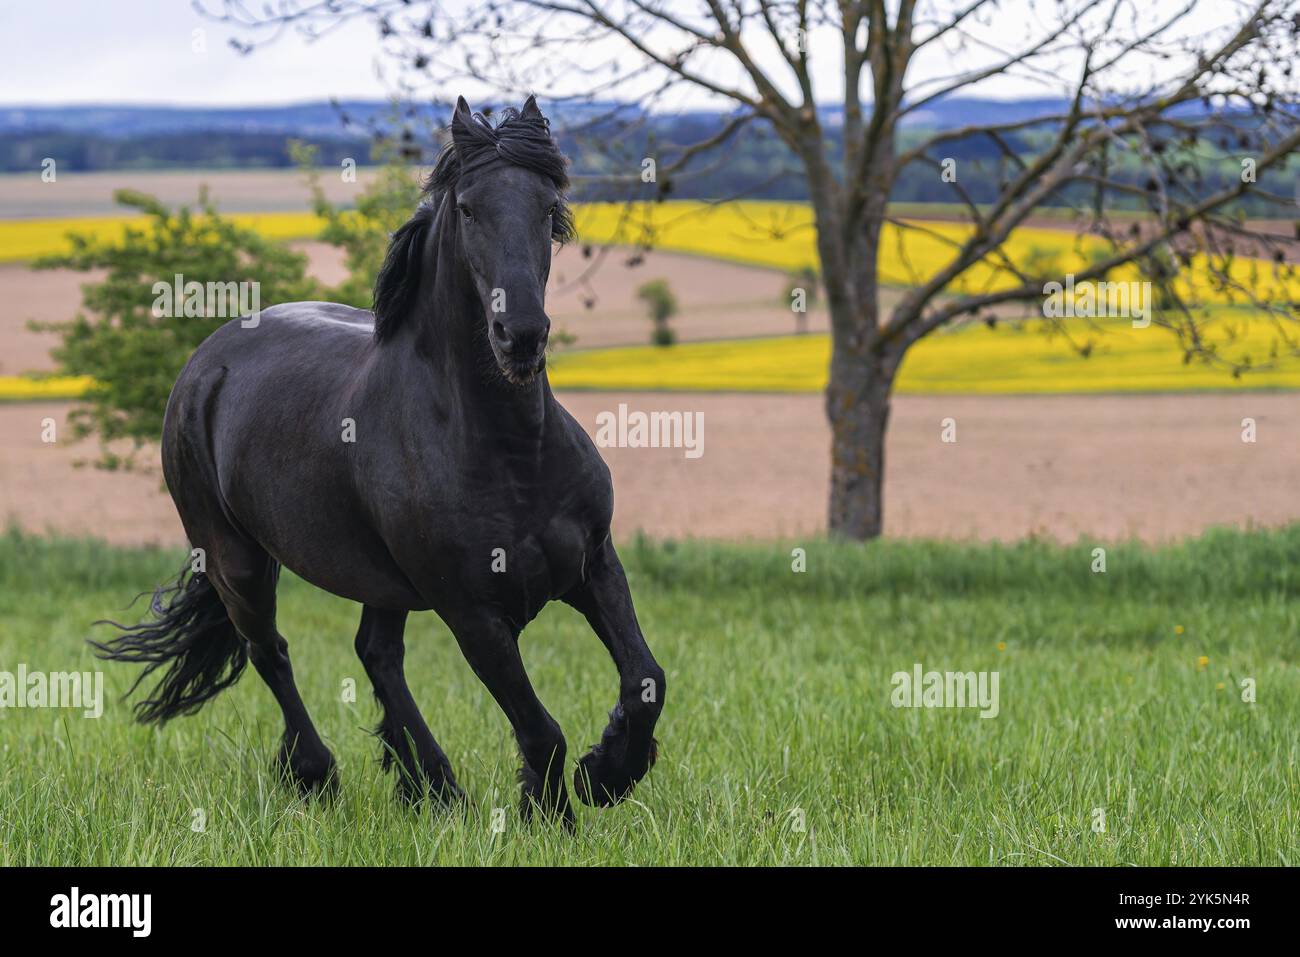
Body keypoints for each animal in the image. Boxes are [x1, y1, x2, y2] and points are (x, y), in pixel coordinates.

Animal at [92, 96, 665, 829]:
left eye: (547, 207)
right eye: (469, 208)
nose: (521, 337)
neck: (511, 451)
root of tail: (205, 362)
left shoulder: (593, 565)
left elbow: (646, 680)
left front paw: (609, 773)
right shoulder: (472, 613)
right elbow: (541, 729)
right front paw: (556, 810)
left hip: (380, 578)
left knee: (376, 653)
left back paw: (434, 787)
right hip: (235, 558)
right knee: (269, 651)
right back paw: (320, 774)